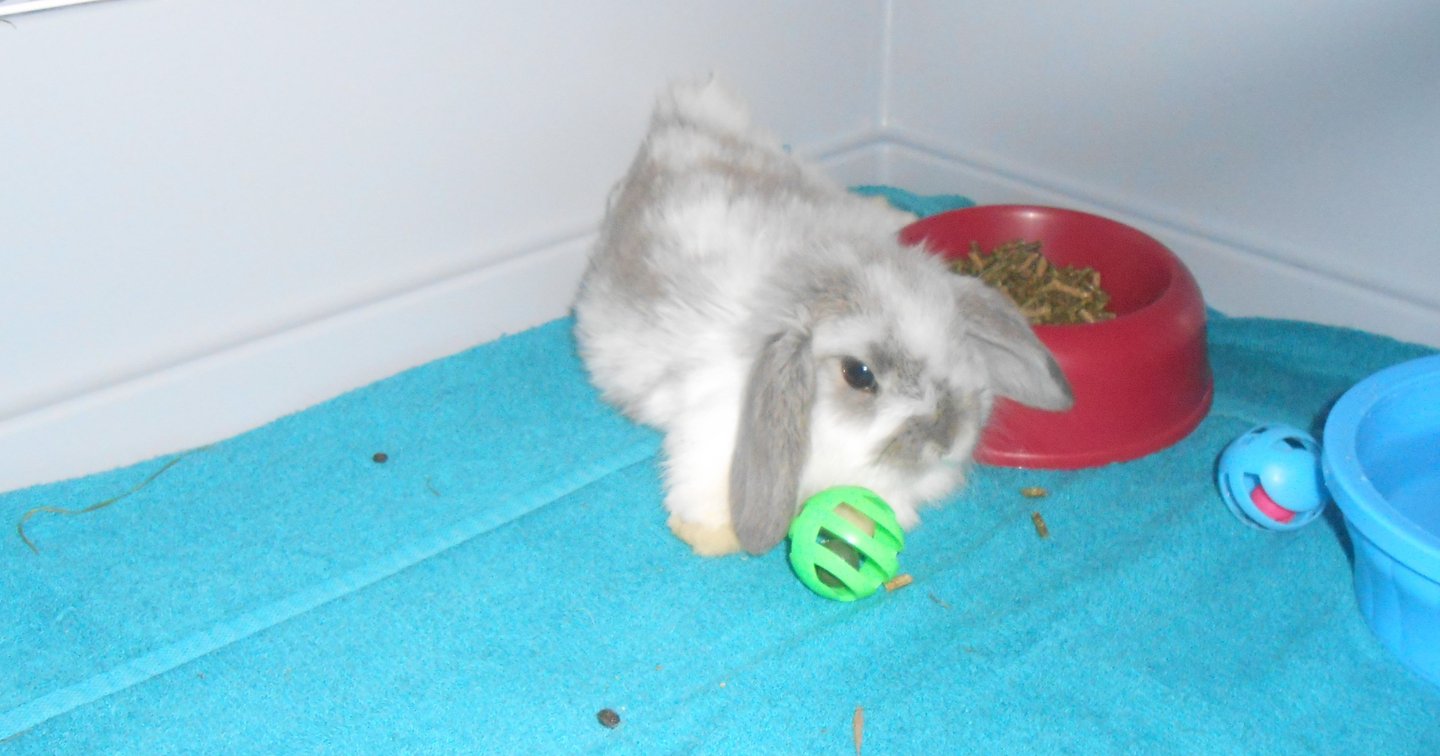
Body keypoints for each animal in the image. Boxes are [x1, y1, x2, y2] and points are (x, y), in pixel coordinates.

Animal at [572, 76, 1073, 556]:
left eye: (960, 344)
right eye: (859, 374)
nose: (947, 439)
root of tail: (687, 125)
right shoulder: (712, 427)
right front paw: (711, 533)